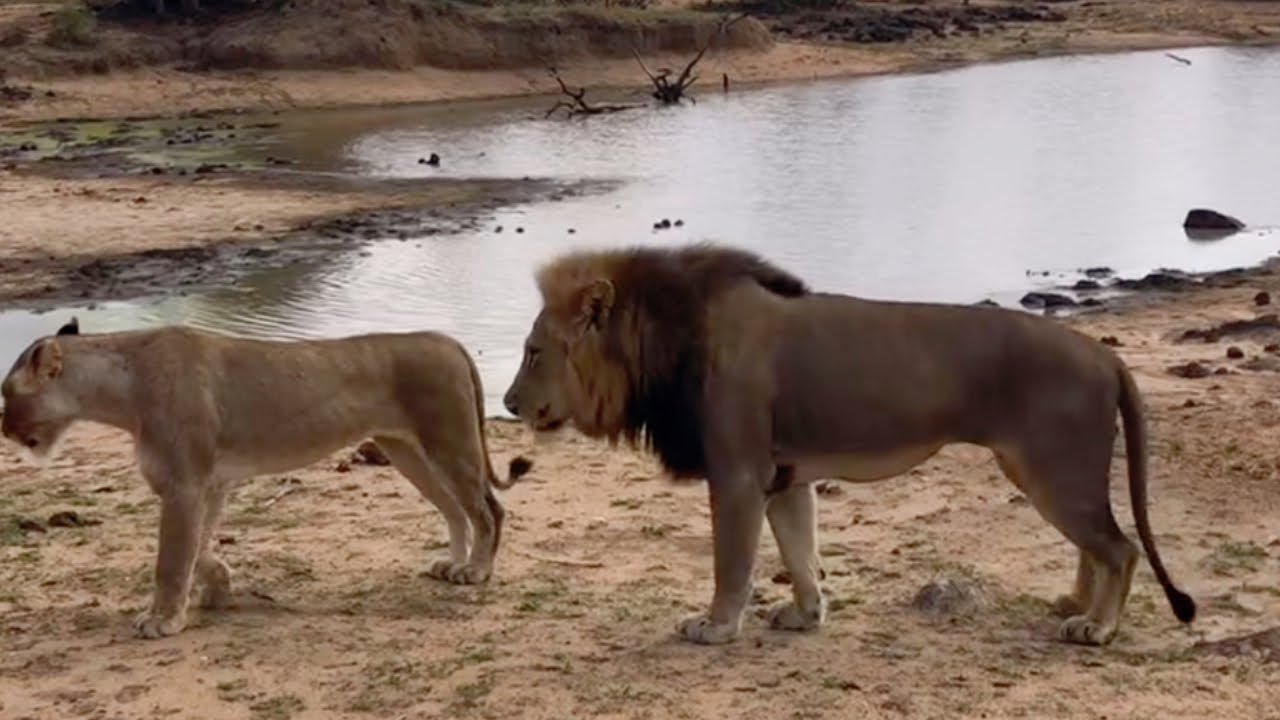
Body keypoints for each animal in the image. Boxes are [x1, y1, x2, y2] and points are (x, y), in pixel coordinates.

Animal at [1, 318, 530, 639]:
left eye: (7, 392)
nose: (3, 427)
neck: (121, 391)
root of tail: (448, 340)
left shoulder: (184, 484)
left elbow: (171, 559)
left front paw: (161, 621)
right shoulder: (210, 483)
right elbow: (201, 547)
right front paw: (218, 587)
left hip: (449, 441)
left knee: (488, 509)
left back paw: (476, 572)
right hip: (407, 451)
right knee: (455, 508)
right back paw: (453, 563)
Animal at [502, 243, 1196, 647]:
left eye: (533, 352)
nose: (506, 404)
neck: (662, 343)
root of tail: (1105, 355)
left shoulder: (737, 475)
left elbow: (733, 562)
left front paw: (716, 625)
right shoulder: (783, 475)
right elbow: (799, 549)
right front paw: (807, 615)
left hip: (1053, 468)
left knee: (1121, 548)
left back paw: (1097, 626)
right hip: (1043, 470)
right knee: (1096, 545)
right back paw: (1075, 603)